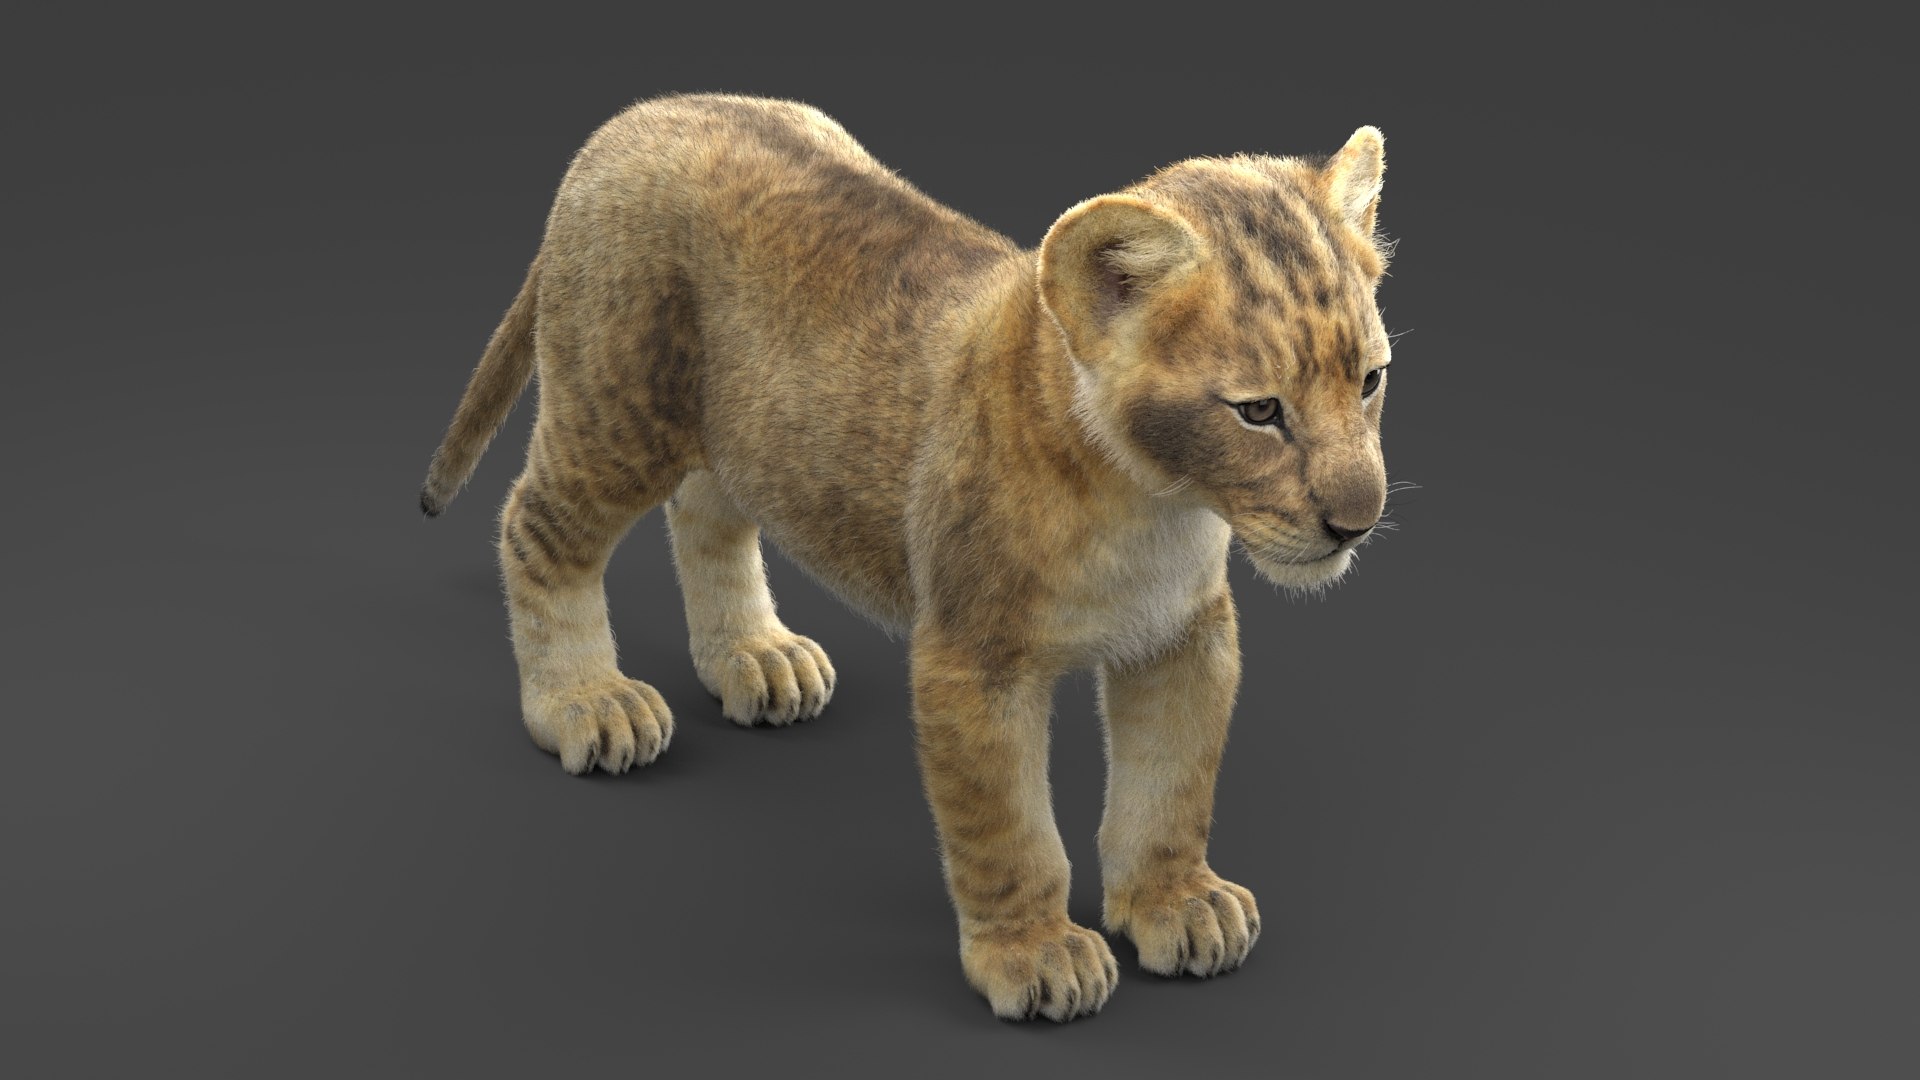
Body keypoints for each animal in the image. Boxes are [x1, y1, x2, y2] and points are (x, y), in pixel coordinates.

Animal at [420, 93, 1394, 1021]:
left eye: (1370, 381)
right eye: (1258, 411)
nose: (1358, 522)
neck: (1152, 502)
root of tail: (632, 120)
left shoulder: (1185, 637)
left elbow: (1172, 790)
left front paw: (1178, 904)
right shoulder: (973, 657)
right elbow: (1008, 829)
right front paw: (1035, 955)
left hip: (747, 429)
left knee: (706, 507)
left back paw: (755, 656)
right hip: (616, 408)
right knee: (536, 527)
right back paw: (587, 701)